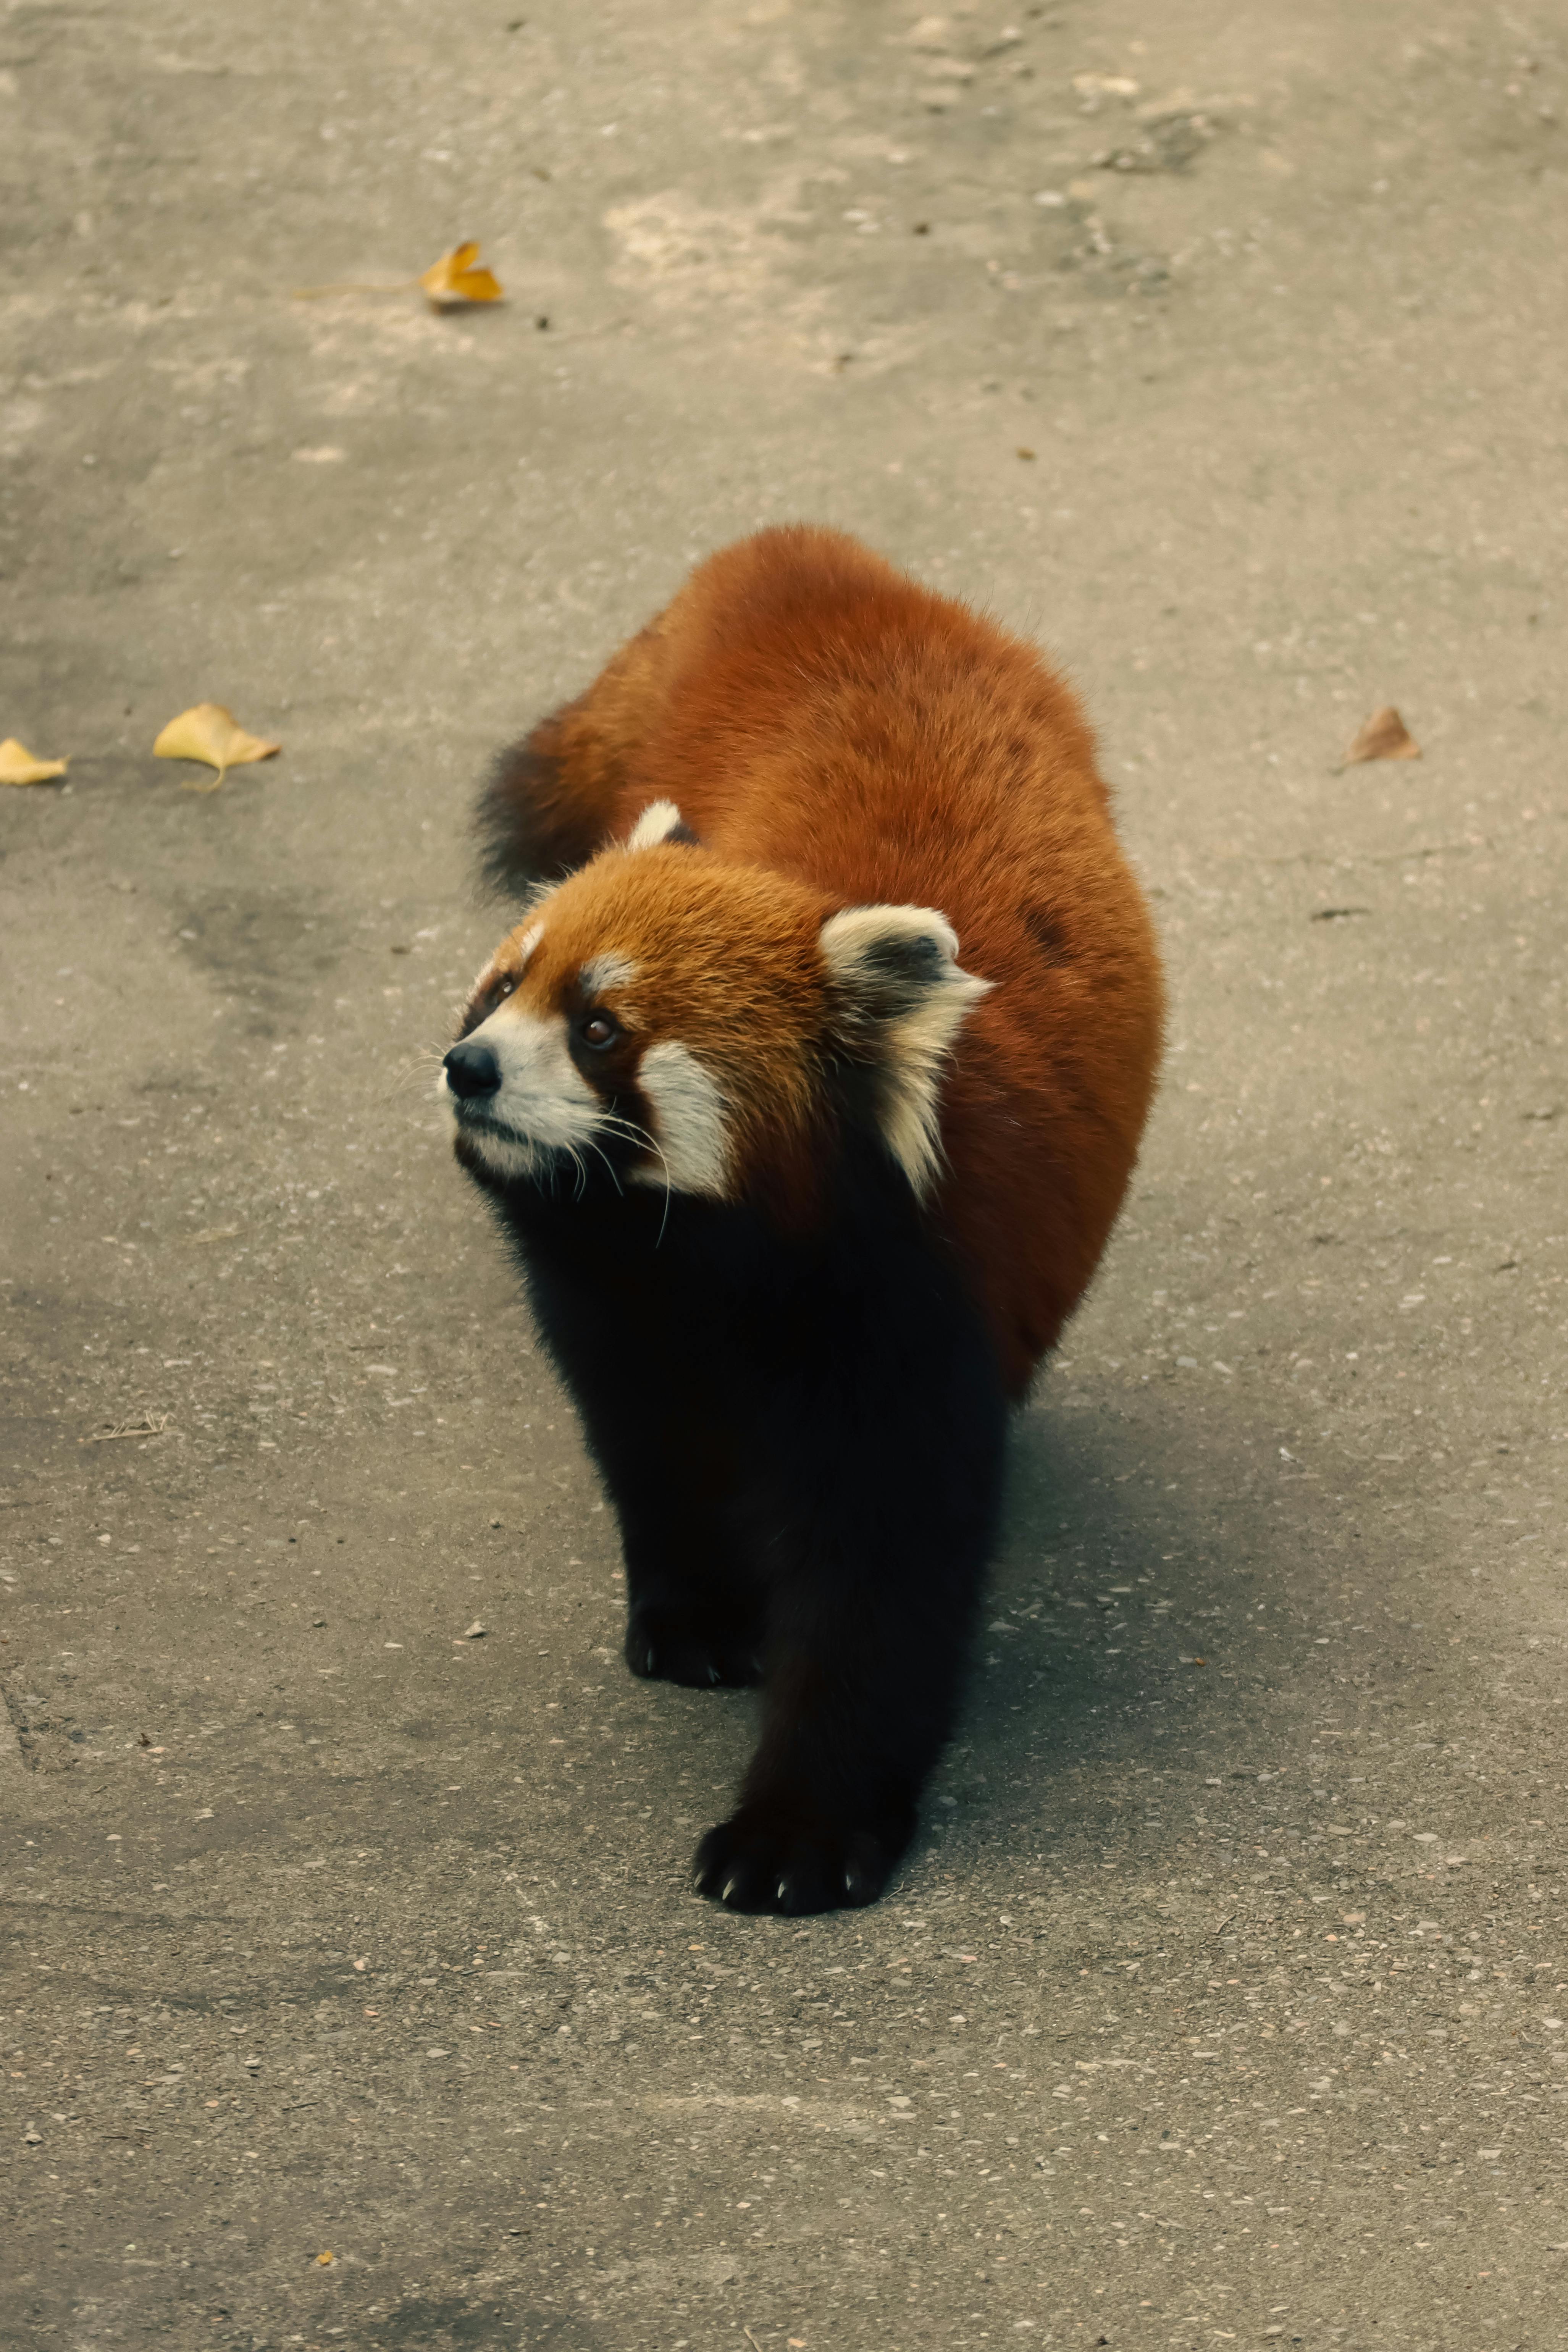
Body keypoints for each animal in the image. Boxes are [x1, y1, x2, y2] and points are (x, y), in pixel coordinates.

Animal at [441, 525, 1164, 1914]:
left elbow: (882, 1581)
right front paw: (692, 1620)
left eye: (599, 1028)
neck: (692, 1263)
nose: (469, 1069)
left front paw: (799, 1834)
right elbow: (651, 1449)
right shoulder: (607, 1308)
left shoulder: (912, 1304)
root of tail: (809, 560)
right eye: (503, 986)